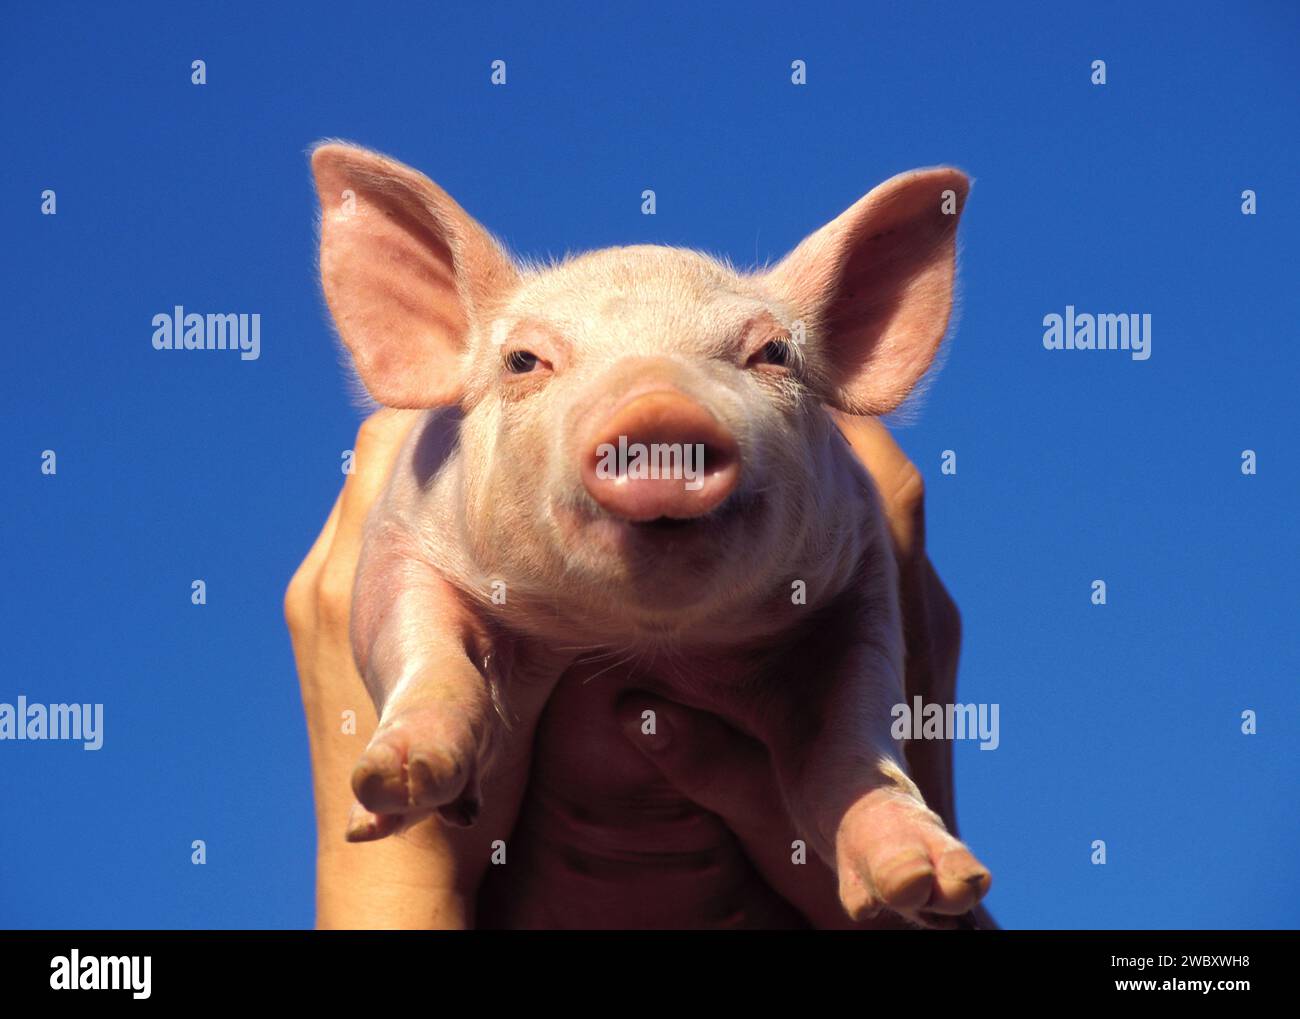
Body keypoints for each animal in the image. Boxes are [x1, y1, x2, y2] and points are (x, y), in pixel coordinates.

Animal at [310, 141, 990, 927]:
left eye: (773, 354)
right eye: (523, 360)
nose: (661, 408)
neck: (644, 642)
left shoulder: (862, 571)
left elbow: (856, 725)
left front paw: (934, 884)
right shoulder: (400, 531)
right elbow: (416, 642)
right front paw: (394, 783)